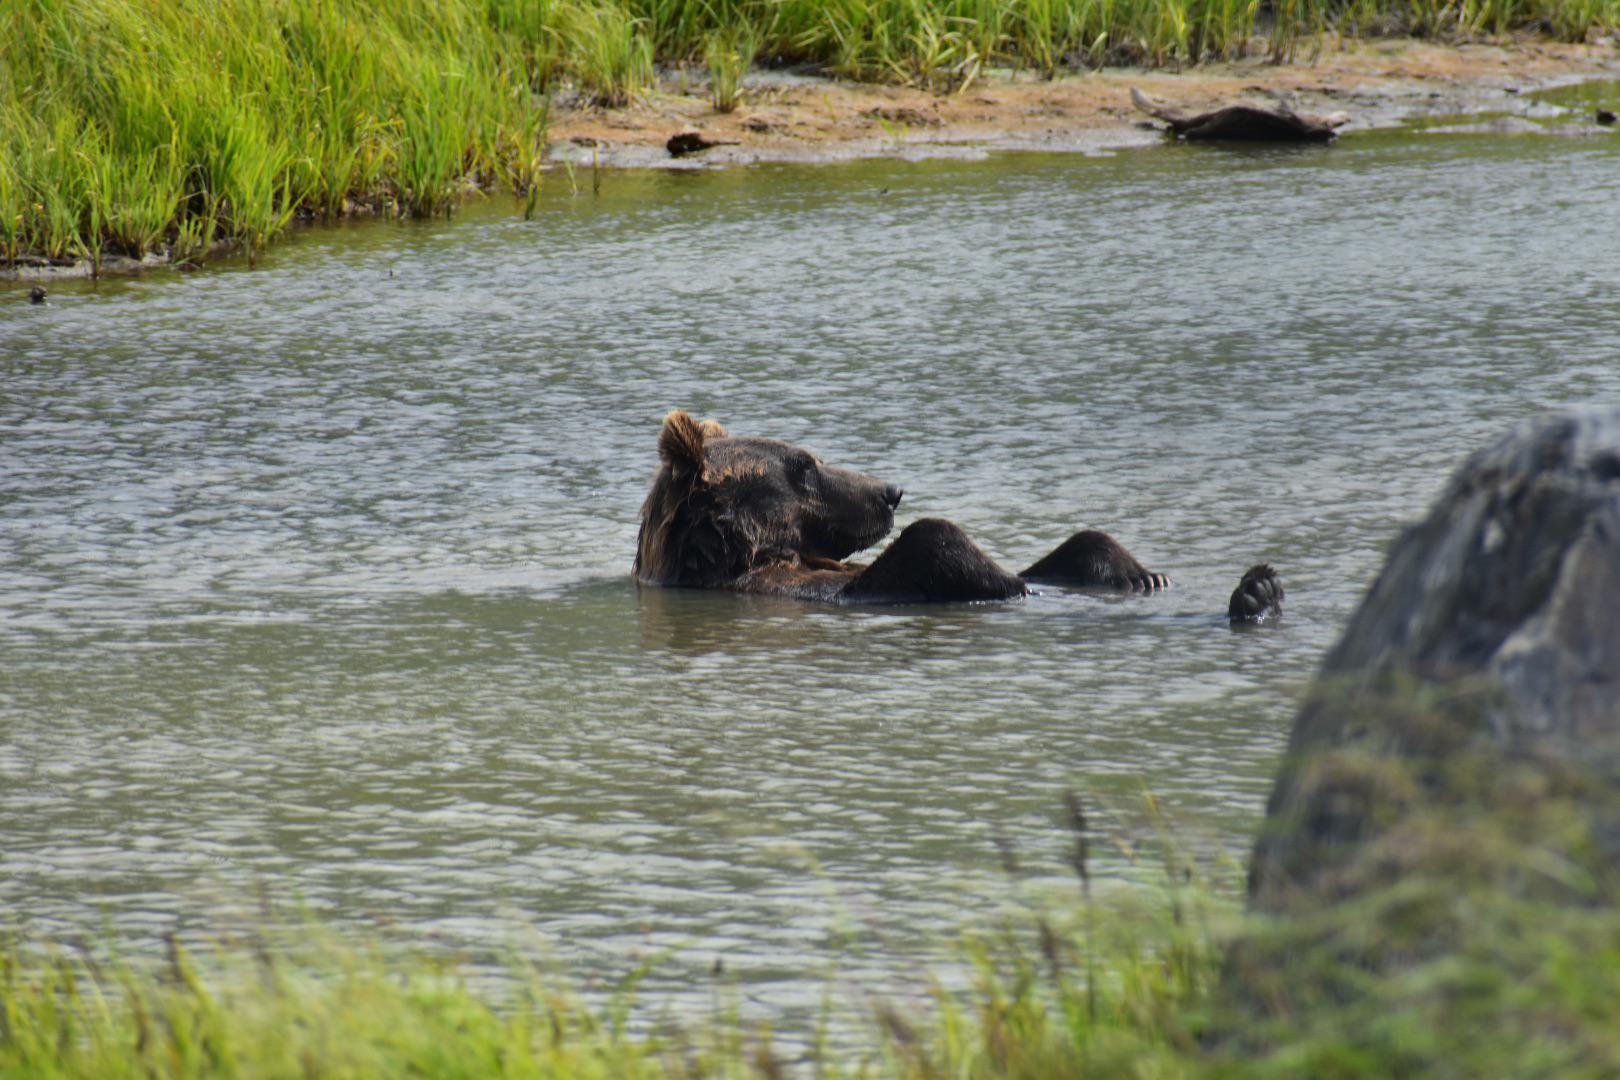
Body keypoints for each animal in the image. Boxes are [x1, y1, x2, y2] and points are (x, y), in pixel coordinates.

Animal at [635, 410, 1282, 616]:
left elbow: (1065, 551)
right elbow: (939, 546)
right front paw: (1011, 584)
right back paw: (1254, 594)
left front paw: (1143, 572)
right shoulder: (788, 587)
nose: (889, 491)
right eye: (804, 465)